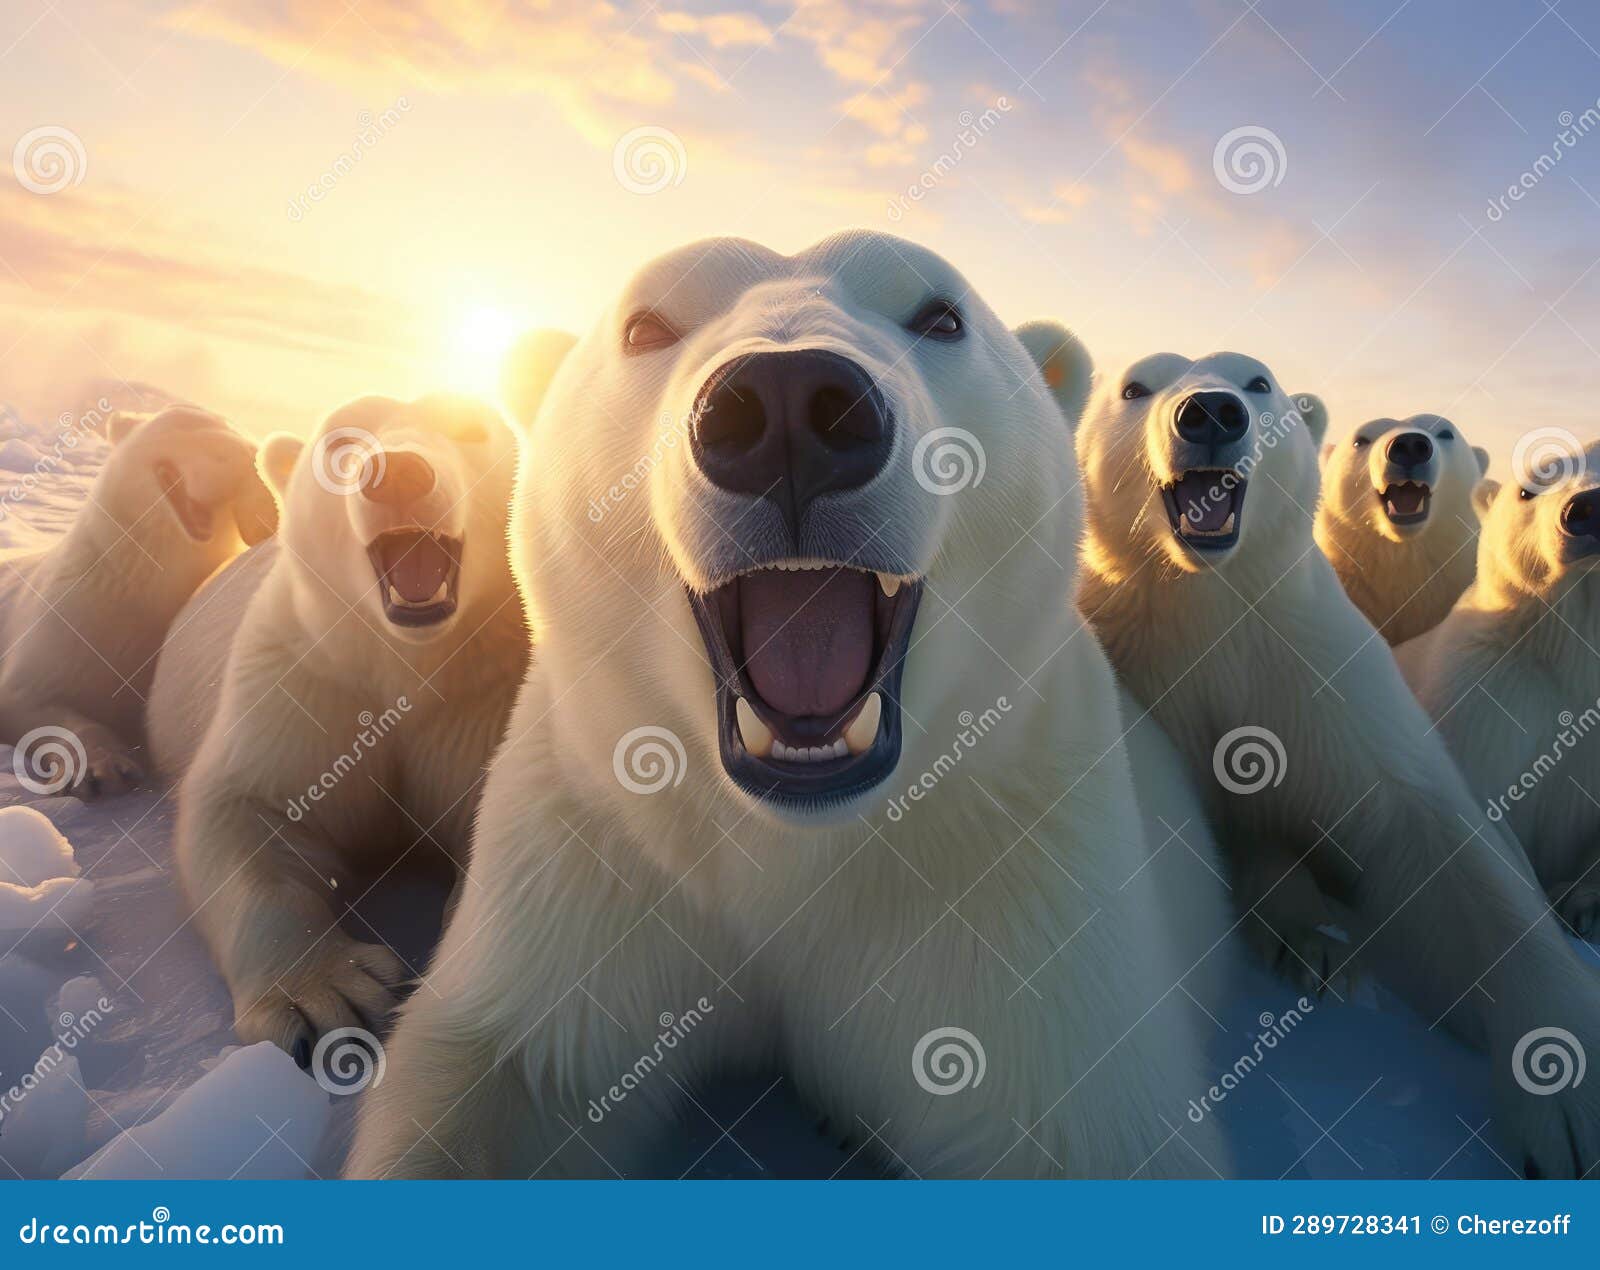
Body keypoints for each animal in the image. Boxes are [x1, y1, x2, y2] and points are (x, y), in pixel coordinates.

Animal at [150, 389, 552, 1064]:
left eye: (471, 428)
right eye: (340, 442)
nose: (398, 471)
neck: (409, 662)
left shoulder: (485, 703)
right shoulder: (309, 680)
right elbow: (249, 806)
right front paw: (323, 998)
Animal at [346, 231, 1236, 1181]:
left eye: (941, 316)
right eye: (645, 325)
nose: (787, 410)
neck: (794, 843)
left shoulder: (1015, 869)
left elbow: (1080, 1128)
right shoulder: (590, 837)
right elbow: (494, 1073)